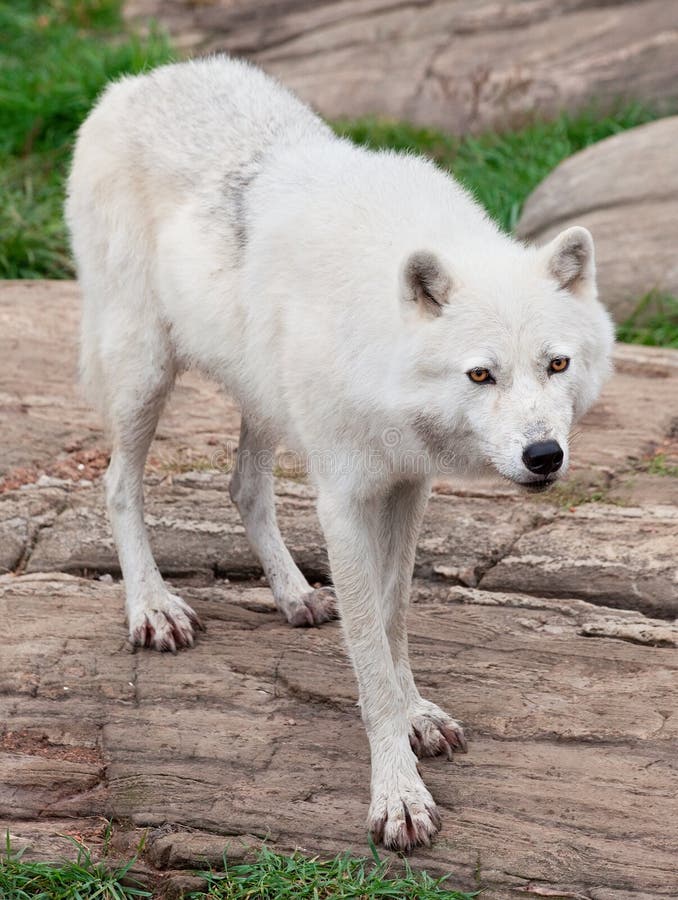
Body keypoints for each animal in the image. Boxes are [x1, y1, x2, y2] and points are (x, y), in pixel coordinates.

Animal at [66, 56, 614, 851]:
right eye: (481, 375)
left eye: (558, 365)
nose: (543, 455)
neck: (377, 344)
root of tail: (135, 80)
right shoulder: (345, 502)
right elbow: (370, 664)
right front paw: (398, 795)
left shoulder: (407, 487)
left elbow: (392, 622)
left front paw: (417, 716)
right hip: (144, 370)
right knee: (117, 485)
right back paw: (153, 608)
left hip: (260, 393)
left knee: (244, 488)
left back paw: (294, 595)